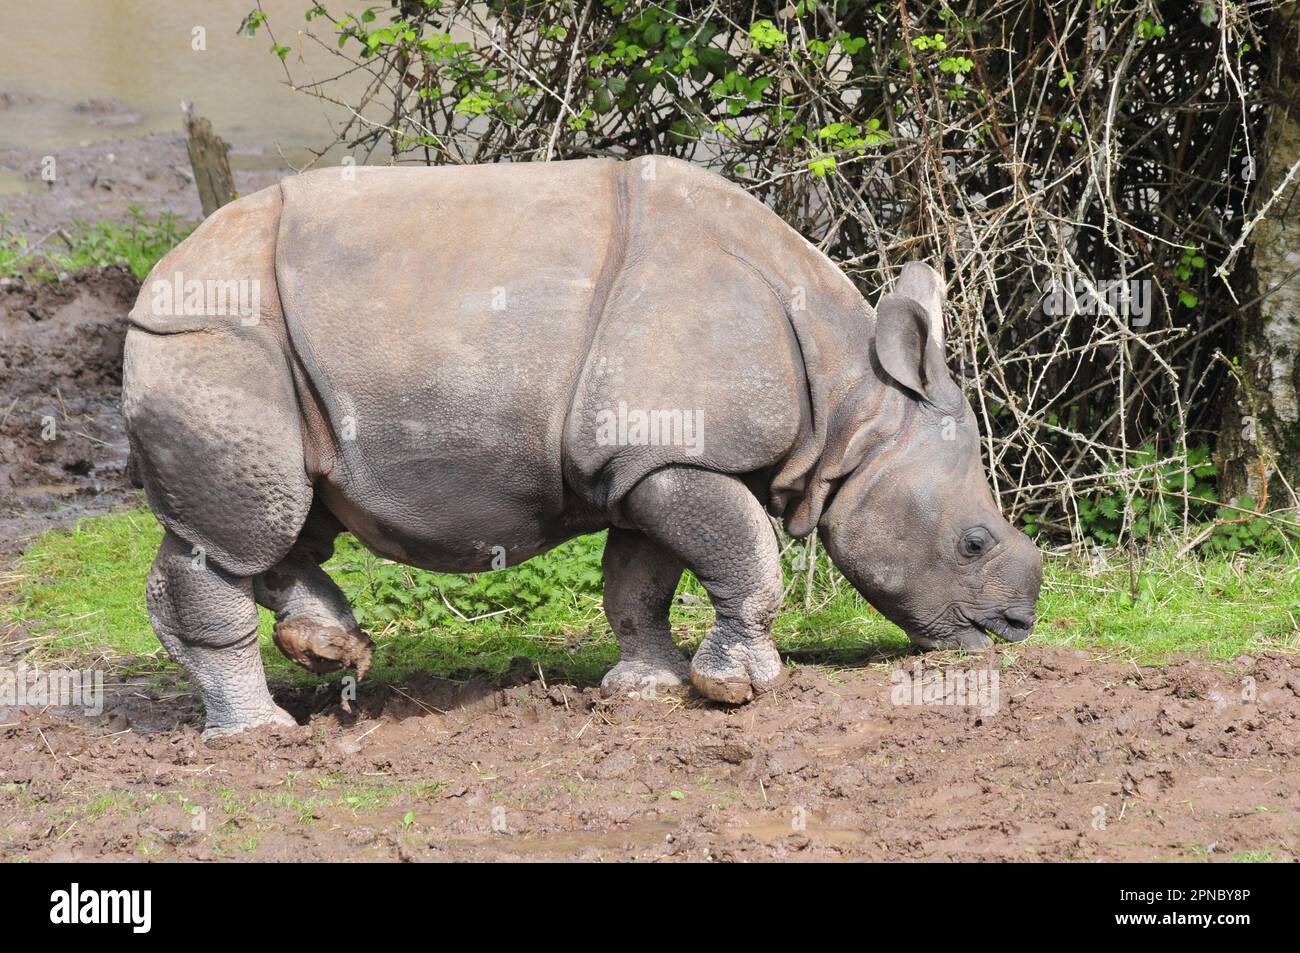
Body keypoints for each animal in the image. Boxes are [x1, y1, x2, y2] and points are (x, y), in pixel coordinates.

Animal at [122, 156, 1042, 739]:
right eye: (972, 542)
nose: (1014, 628)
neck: (854, 406)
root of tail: (156, 278)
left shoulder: (643, 463)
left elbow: (641, 581)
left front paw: (649, 688)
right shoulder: (671, 453)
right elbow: (748, 558)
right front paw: (737, 687)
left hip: (251, 347)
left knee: (279, 518)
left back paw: (327, 649)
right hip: (216, 337)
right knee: (245, 530)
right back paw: (257, 734)